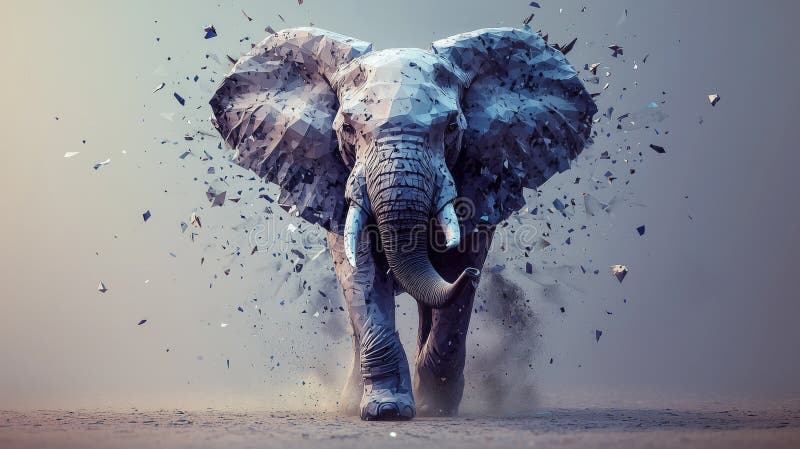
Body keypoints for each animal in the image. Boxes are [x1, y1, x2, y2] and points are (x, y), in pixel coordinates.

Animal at [209, 27, 596, 420]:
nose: (473, 278)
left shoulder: (482, 170)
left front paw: (435, 408)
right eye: (347, 128)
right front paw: (387, 411)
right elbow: (362, 274)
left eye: (452, 127)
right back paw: (350, 403)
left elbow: (457, 268)